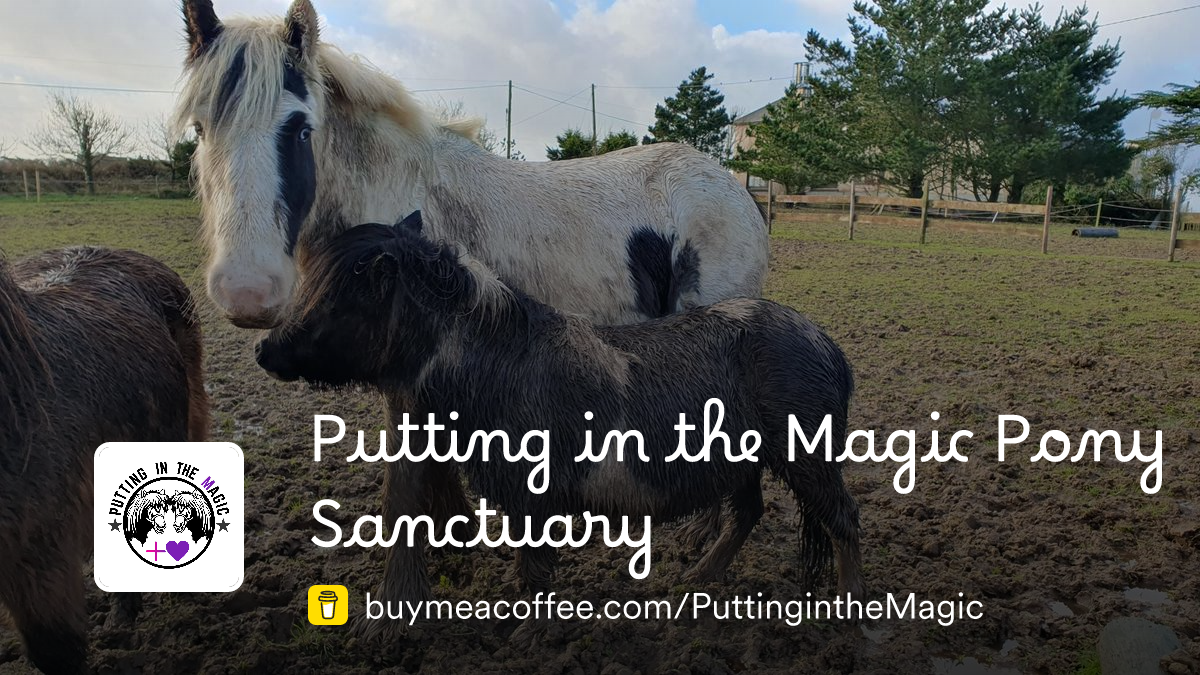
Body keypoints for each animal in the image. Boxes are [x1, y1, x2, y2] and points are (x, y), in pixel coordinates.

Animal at [175, 0, 770, 622]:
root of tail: (734, 188)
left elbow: (404, 488)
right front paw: (456, 536)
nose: (247, 291)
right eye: (201, 128)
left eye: (300, 128)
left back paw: (700, 534)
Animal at [255, 219, 864, 603]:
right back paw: (690, 582)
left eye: (340, 295)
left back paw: (848, 617)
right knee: (748, 513)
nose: (264, 349)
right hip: (746, 461)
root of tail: (830, 348)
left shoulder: (534, 491)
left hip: (807, 451)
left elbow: (535, 568)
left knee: (844, 517)